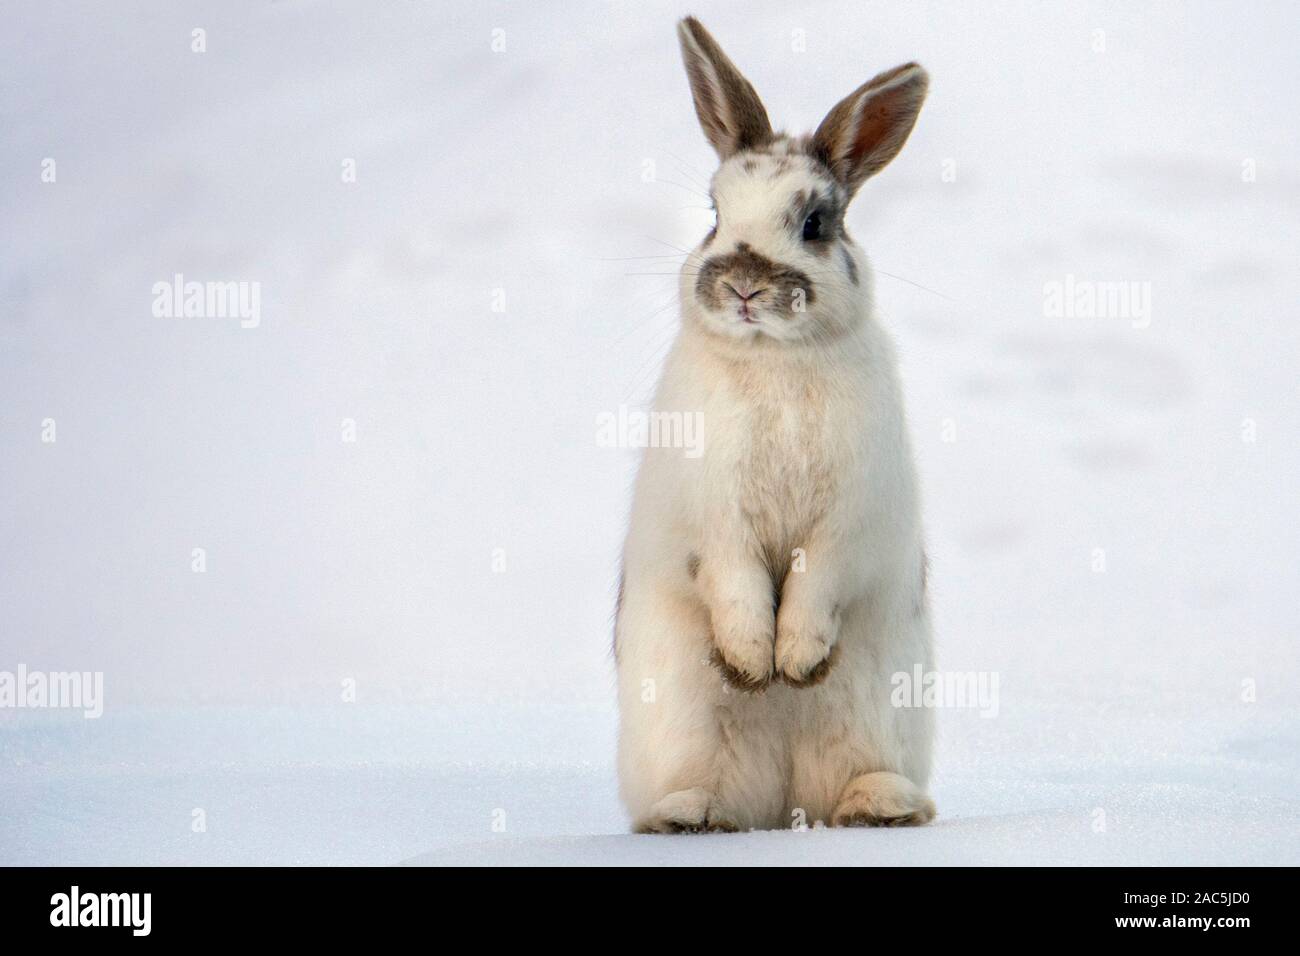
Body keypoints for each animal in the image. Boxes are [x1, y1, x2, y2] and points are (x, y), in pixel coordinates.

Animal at [614, 16, 937, 834]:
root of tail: (786, 803)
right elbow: (735, 583)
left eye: (816, 223)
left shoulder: (851, 519)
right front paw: (755, 665)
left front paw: (794, 664)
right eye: (714, 215)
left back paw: (880, 807)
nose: (744, 286)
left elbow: (816, 580)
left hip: (881, 715)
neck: (775, 360)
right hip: (680, 726)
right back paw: (689, 816)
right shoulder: (713, 518)